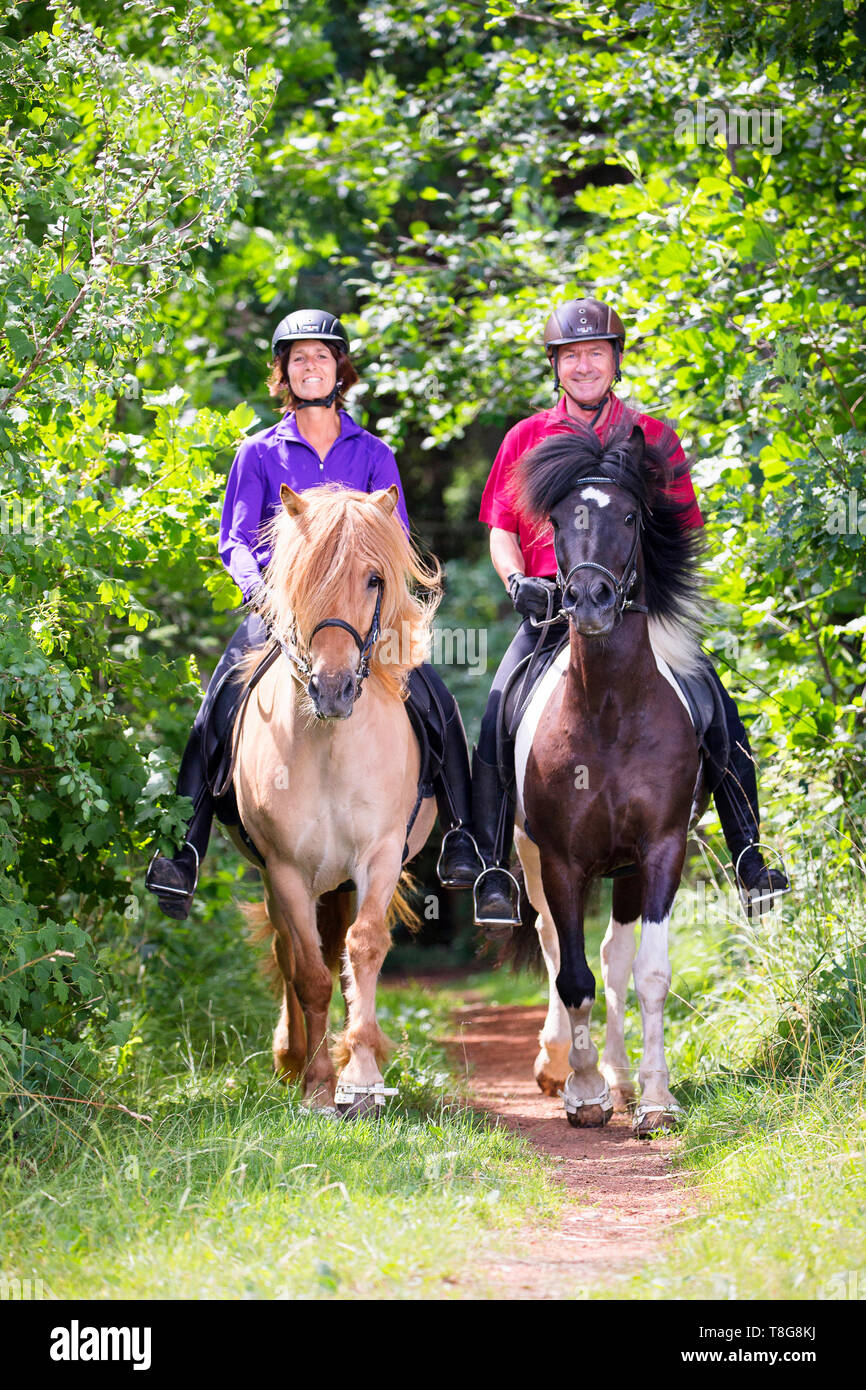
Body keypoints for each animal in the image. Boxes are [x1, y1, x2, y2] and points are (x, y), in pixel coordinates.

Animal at [227, 482, 440, 1117]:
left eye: (374, 579)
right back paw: (292, 1059)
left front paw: (363, 1077)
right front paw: (318, 1087)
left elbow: (362, 949)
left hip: (343, 880)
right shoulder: (285, 868)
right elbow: (309, 973)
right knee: (289, 952)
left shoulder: (379, 854)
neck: (330, 746)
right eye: (302, 577)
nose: (334, 689)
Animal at [508, 420, 708, 1136]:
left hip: (625, 871)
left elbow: (647, 974)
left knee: (616, 962)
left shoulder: (660, 849)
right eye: (558, 519)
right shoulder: (563, 860)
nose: (589, 602)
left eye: (629, 515)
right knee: (551, 944)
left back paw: (623, 1076)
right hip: (531, 857)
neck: (612, 711)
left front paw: (654, 1097)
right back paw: (560, 1065)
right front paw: (584, 1091)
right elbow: (572, 977)